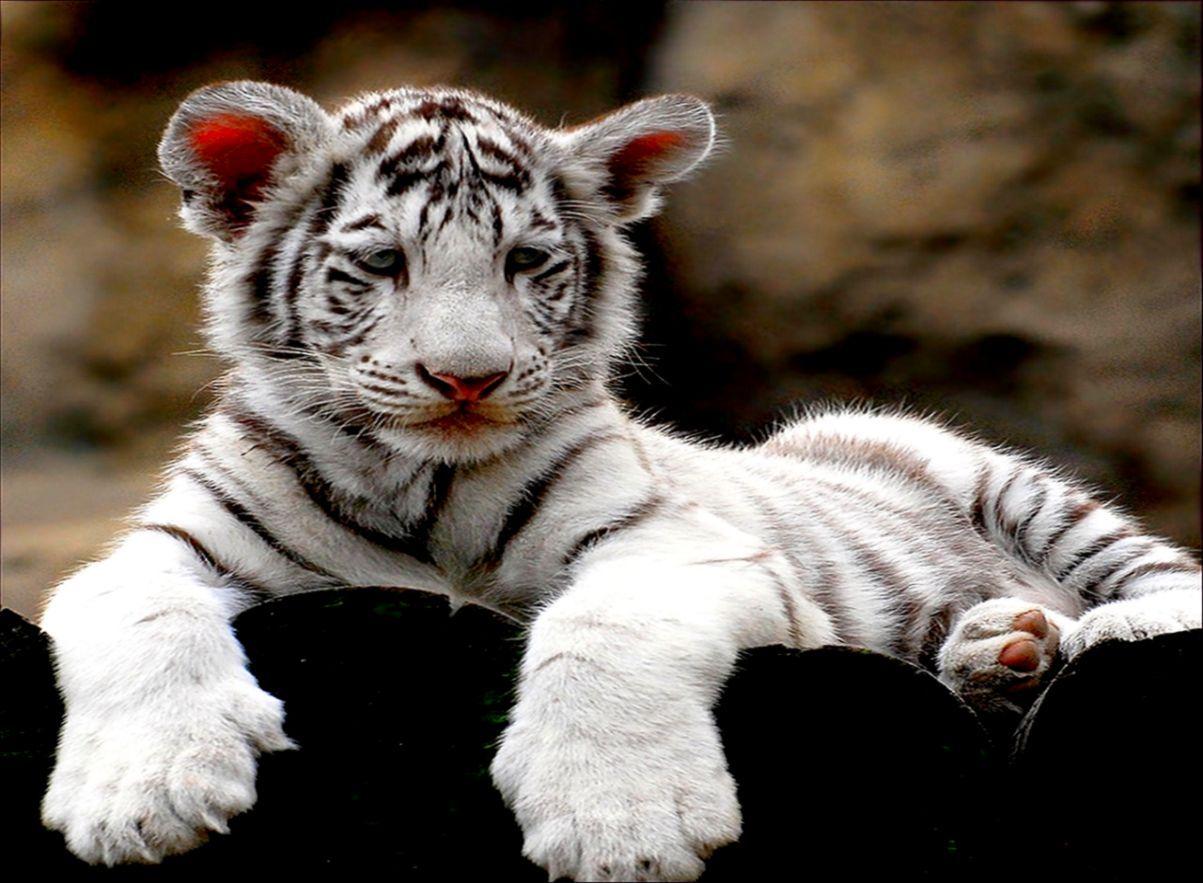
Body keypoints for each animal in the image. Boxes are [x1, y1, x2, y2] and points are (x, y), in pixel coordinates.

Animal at [39, 81, 1201, 881]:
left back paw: (1089, 631)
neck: (419, 482)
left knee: (1155, 573)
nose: (468, 377)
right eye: (380, 265)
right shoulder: (164, 550)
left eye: (525, 263)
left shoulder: (679, 541)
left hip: (996, 479)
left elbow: (603, 628)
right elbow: (135, 613)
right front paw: (144, 794)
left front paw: (620, 822)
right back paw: (1002, 651)